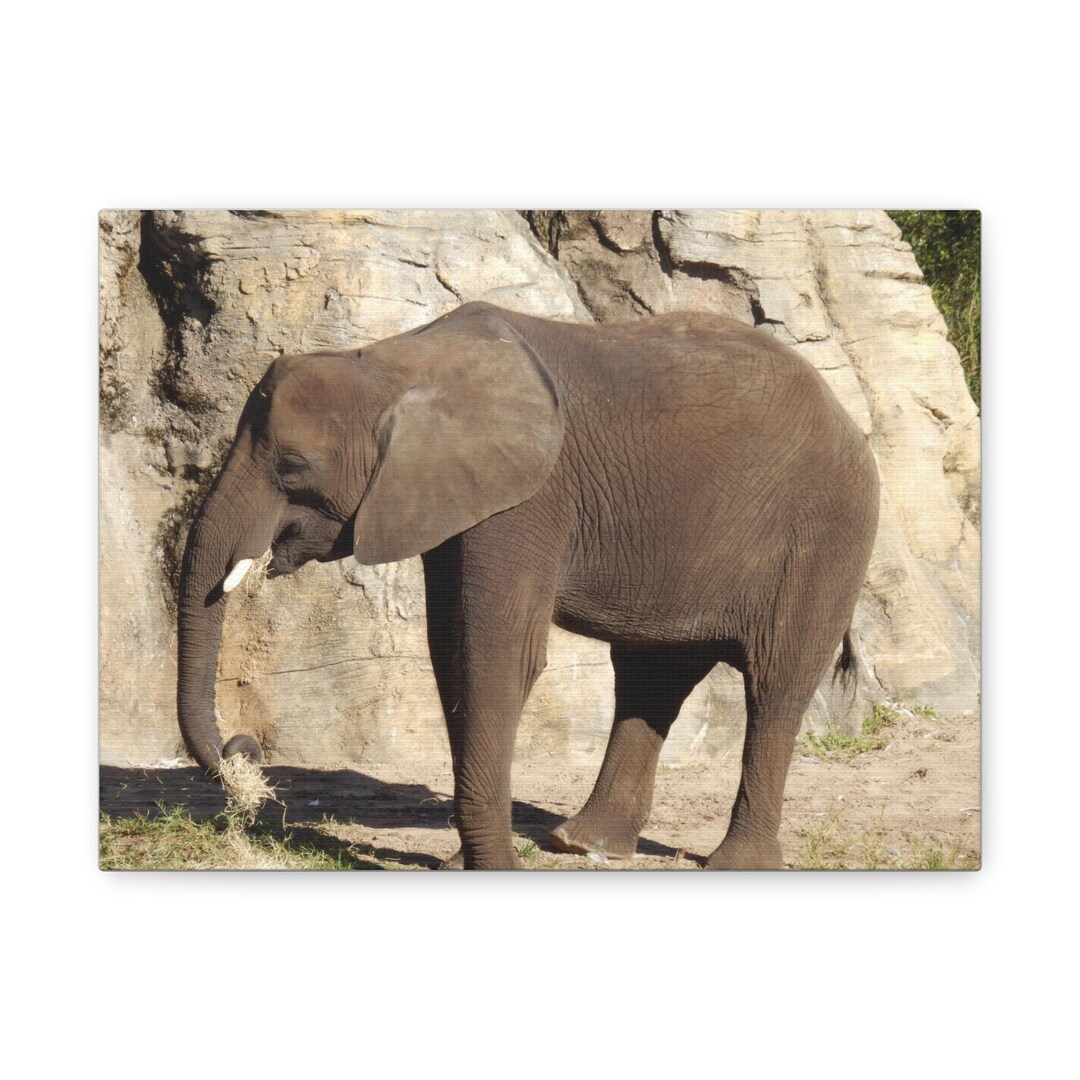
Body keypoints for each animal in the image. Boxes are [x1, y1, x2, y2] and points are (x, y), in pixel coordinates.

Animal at [177, 300, 879, 870]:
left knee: (776, 684)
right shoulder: (454, 500)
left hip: (828, 533)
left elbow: (498, 657)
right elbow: (452, 654)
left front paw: (491, 867)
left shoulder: (530, 498)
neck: (392, 362)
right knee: (652, 677)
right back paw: (583, 844)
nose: (245, 749)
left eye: (292, 466)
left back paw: (732, 863)